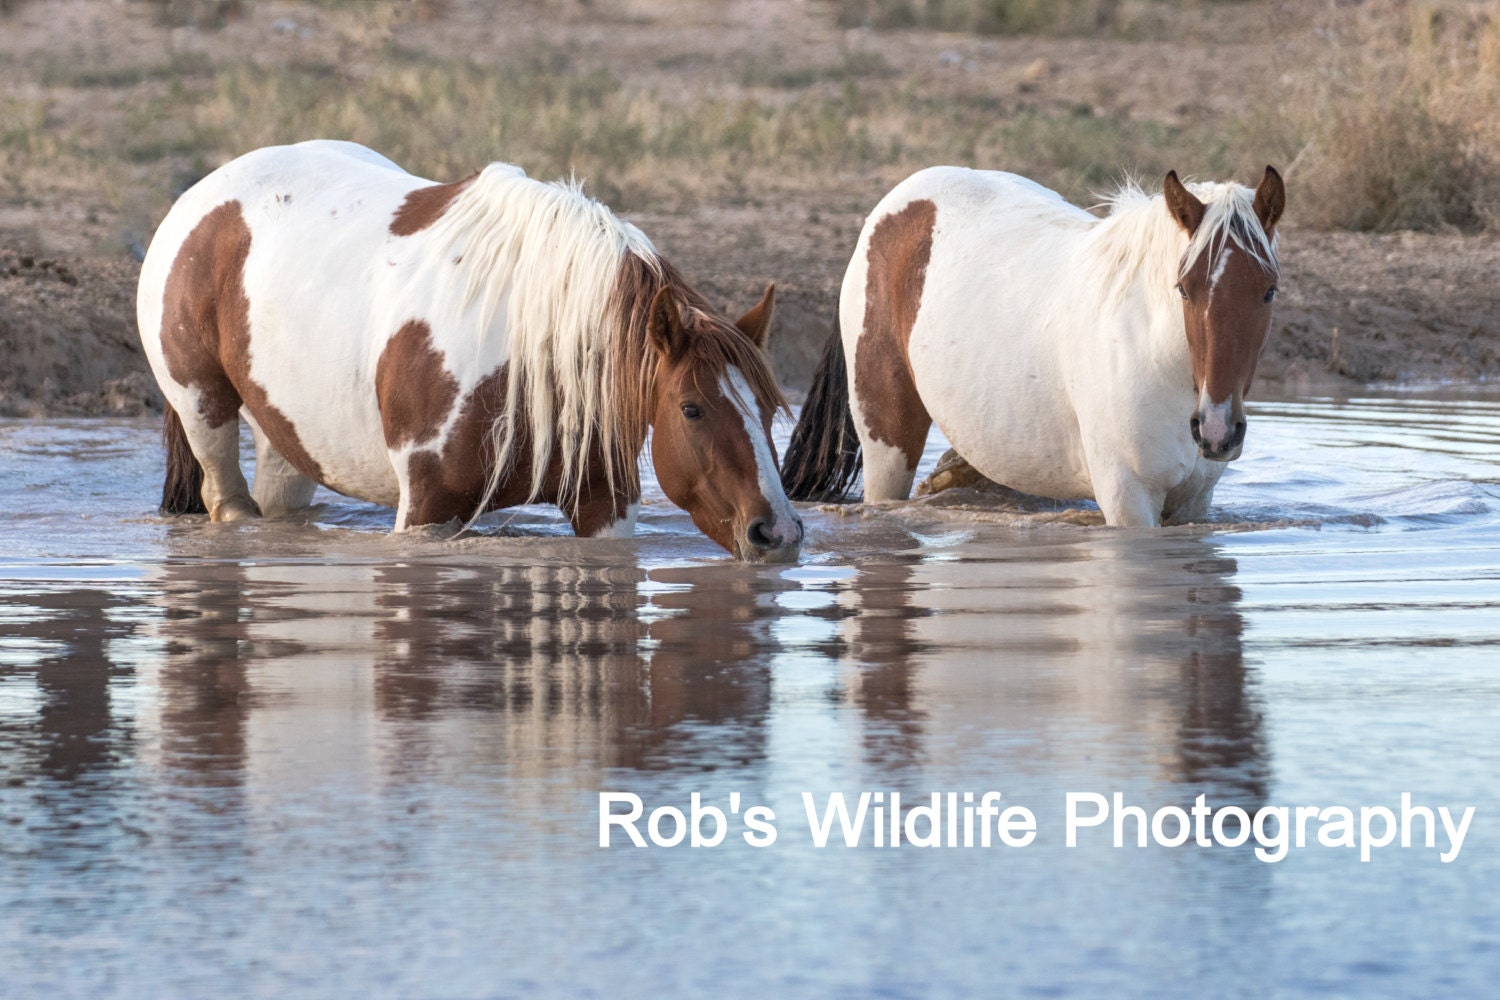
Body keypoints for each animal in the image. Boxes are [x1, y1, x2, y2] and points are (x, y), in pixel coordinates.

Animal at [137, 140, 803, 562]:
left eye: (770, 411)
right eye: (691, 408)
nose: (778, 532)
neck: (528, 352)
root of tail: (203, 196)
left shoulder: (605, 511)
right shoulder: (426, 512)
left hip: (292, 436)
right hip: (203, 410)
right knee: (226, 498)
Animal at [781, 165, 1285, 527]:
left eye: (1269, 291)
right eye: (1184, 289)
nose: (1217, 430)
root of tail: (889, 212)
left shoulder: (1193, 503)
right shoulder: (1128, 500)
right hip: (887, 447)